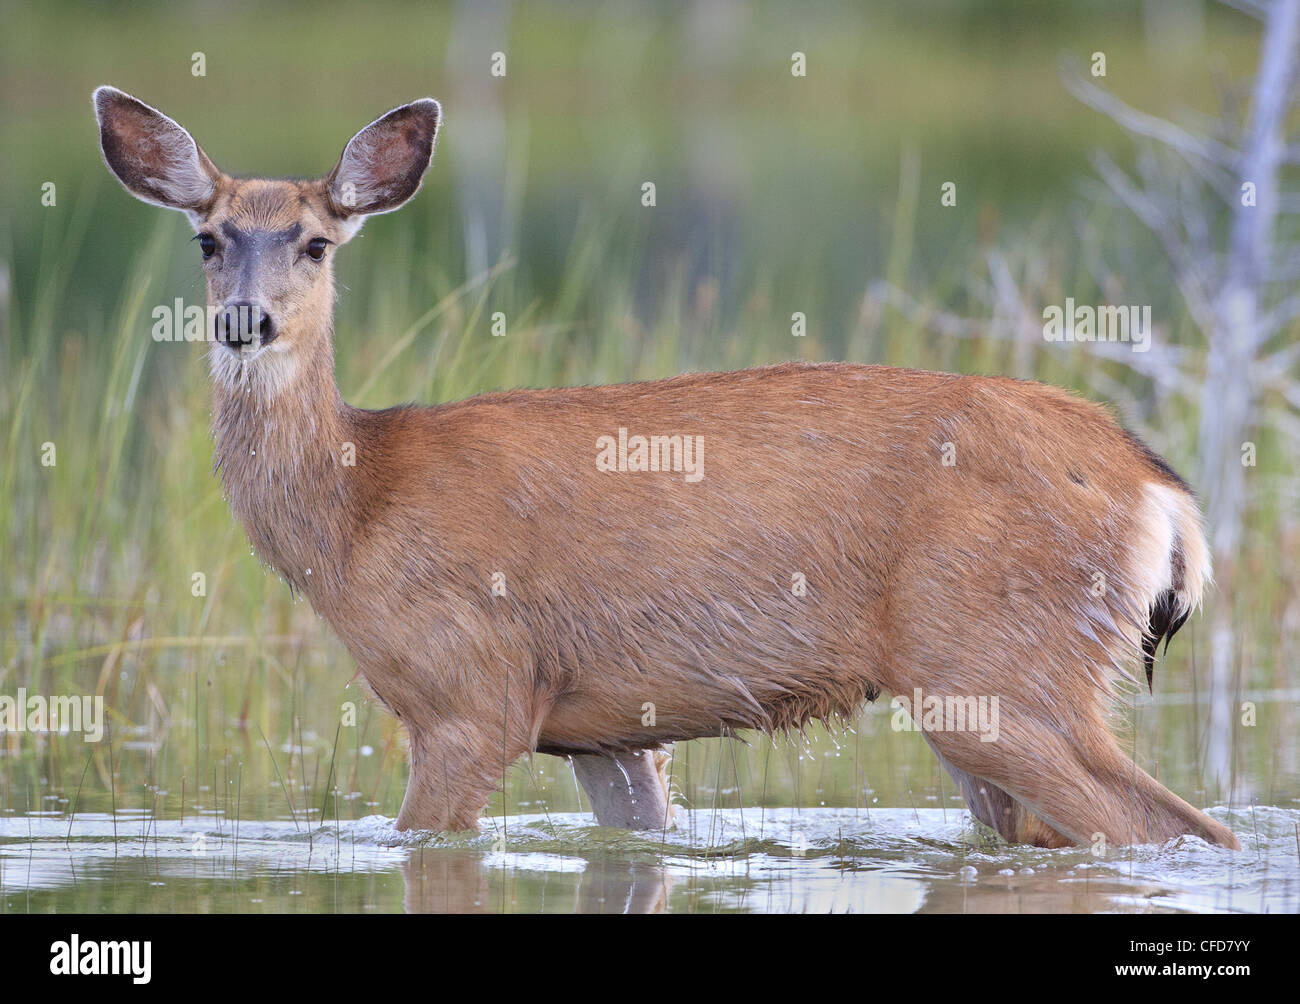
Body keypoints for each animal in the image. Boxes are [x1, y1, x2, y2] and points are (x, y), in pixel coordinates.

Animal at [92, 85, 1240, 851]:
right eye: (208, 239)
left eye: (317, 242)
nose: (247, 321)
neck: (353, 508)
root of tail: (1156, 487)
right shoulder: (600, 729)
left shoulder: (473, 692)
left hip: (998, 667)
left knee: (1166, 826)